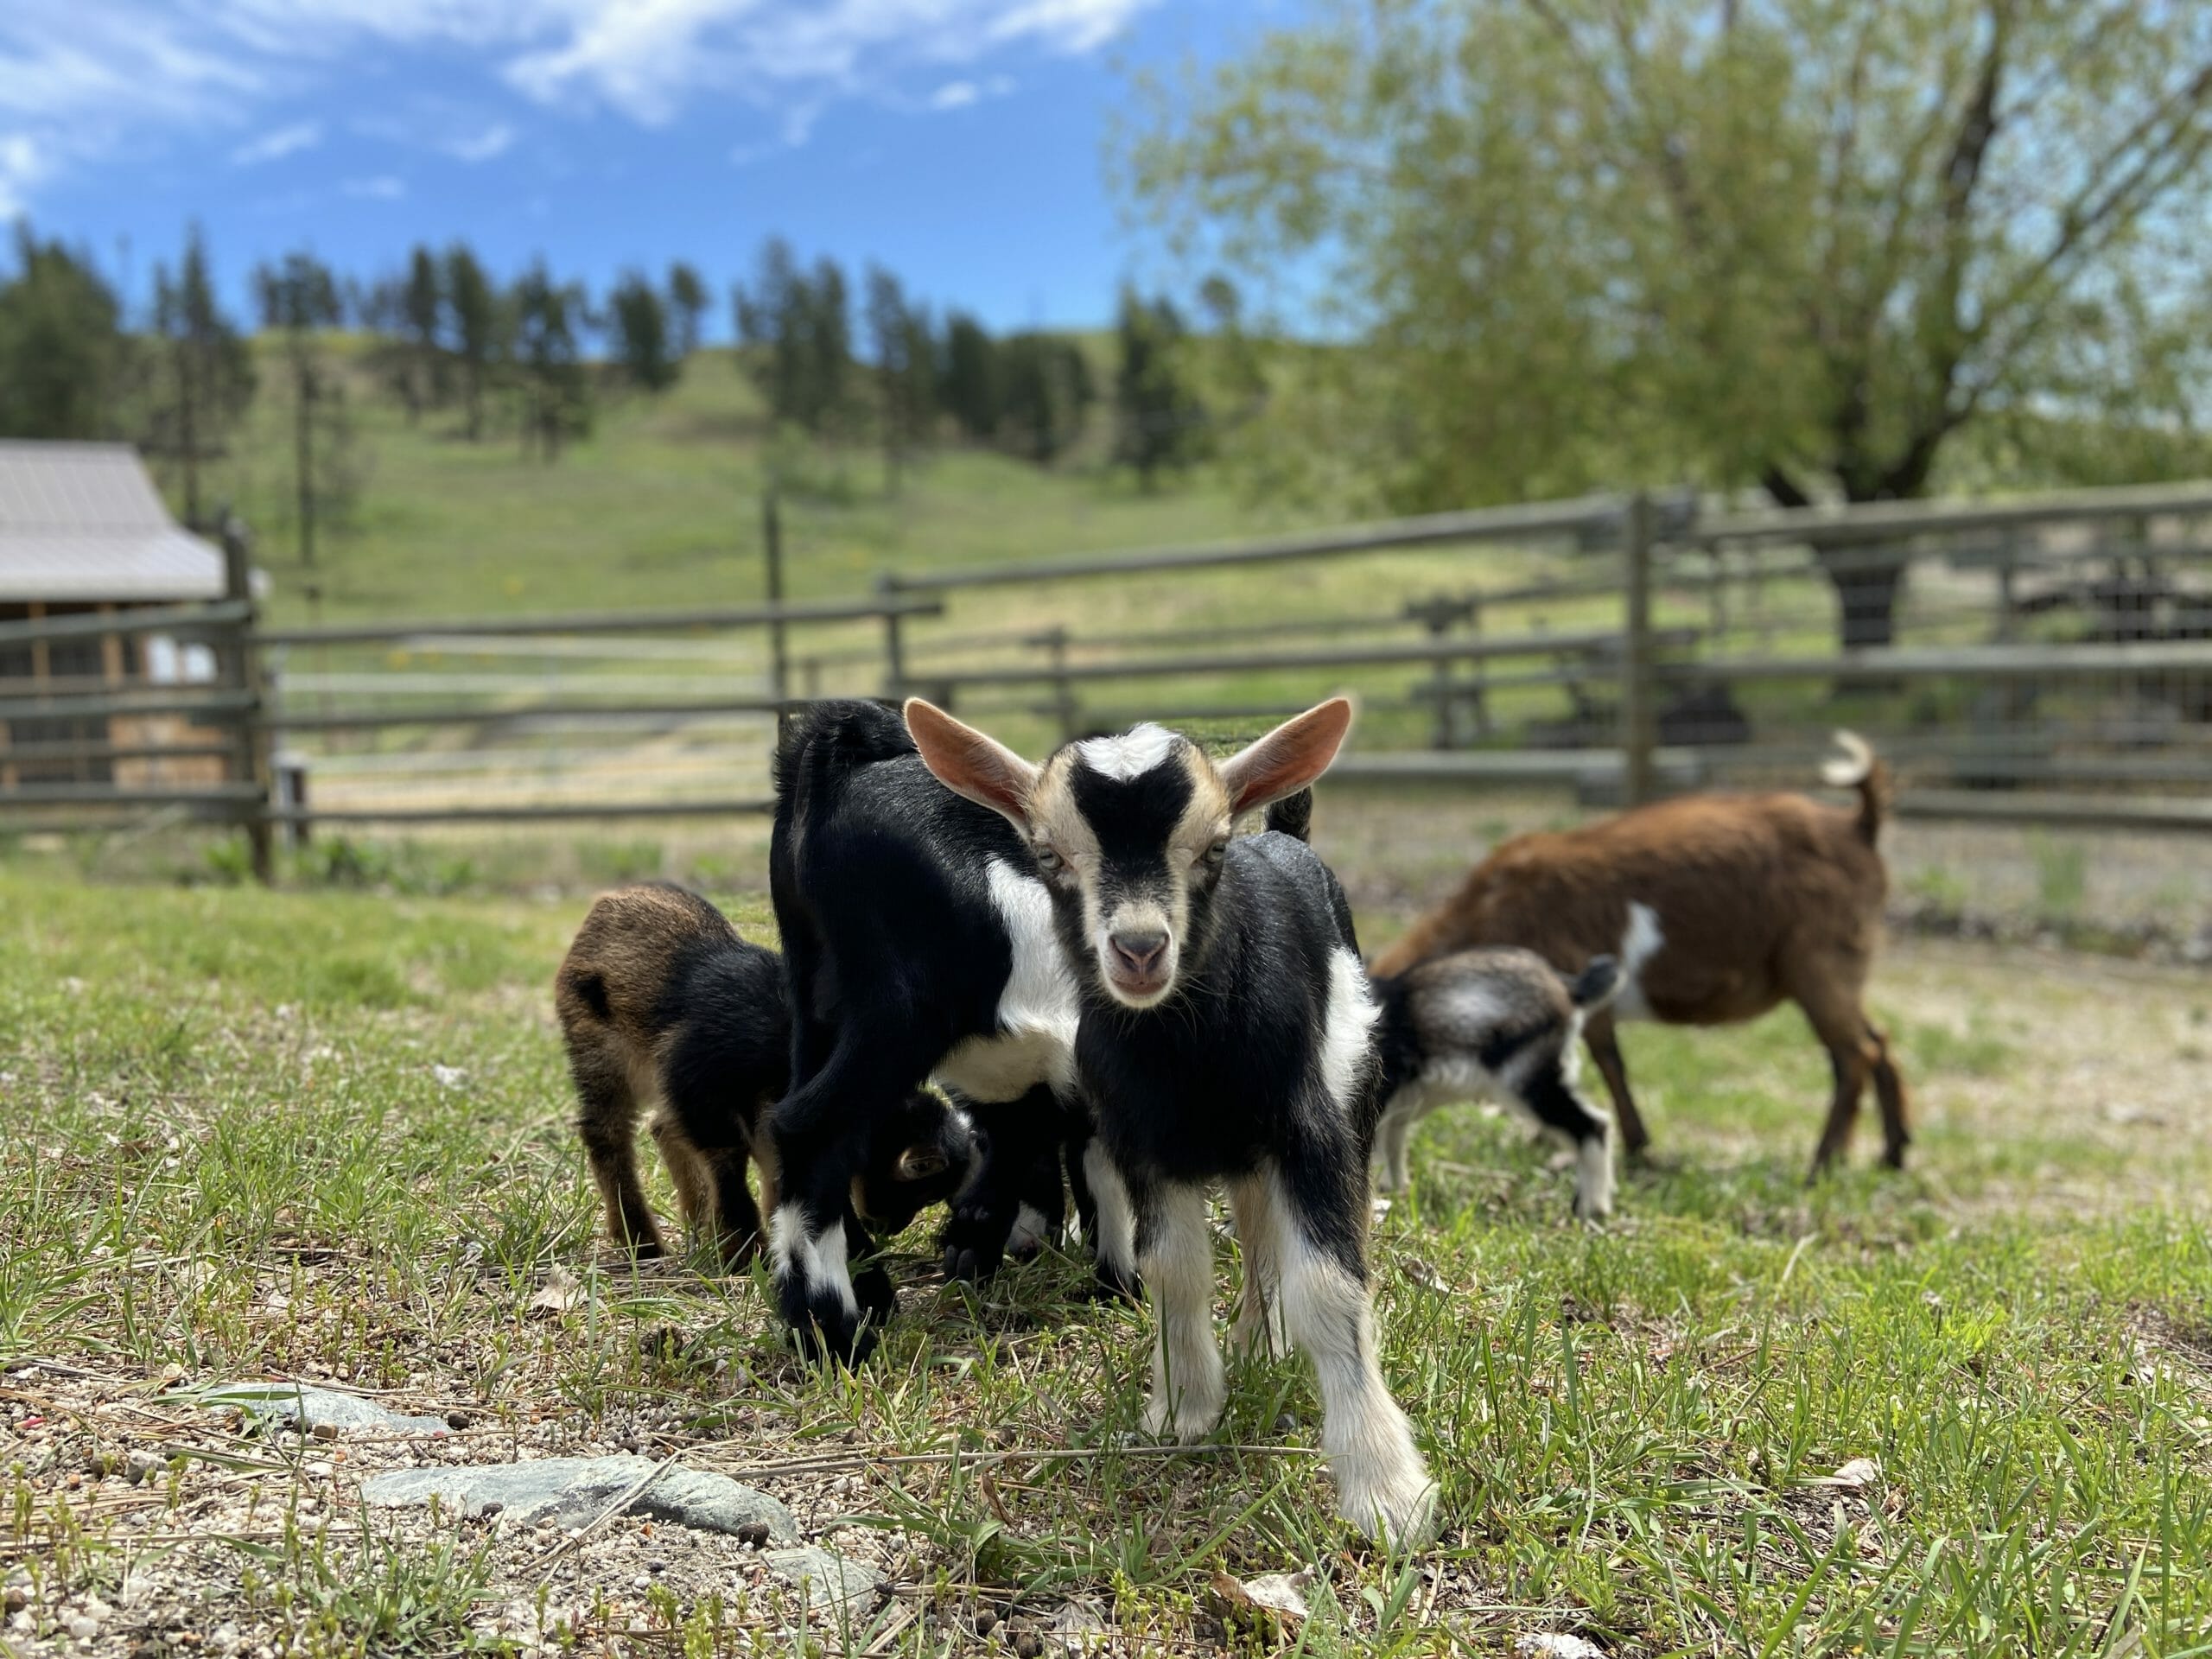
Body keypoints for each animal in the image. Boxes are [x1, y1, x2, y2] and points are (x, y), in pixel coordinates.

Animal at [556, 883, 974, 1267]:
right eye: (919, 1192)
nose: (891, 1228)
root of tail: (612, 899)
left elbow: (776, 1165)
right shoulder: (694, 1076)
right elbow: (727, 1159)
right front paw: (745, 1251)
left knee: (661, 1126)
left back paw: (696, 1224)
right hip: (598, 1048)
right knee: (607, 1133)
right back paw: (641, 1242)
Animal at [766, 702, 1134, 1367]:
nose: (971, 1249)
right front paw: (1121, 1286)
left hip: (812, 991)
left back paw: (871, 1295)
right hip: (901, 1008)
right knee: (811, 1126)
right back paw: (835, 1331)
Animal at [905, 696, 1439, 1549]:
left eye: (1213, 847)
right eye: (1048, 853)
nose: (1139, 948)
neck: (1187, 1048)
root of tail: (1287, 835)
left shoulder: (1305, 1128)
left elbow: (1329, 1284)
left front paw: (1387, 1492)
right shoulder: (1142, 1142)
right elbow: (1173, 1267)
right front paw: (1184, 1409)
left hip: (1342, 1099)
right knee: (1255, 1228)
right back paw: (1258, 1343)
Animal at [1370, 732, 1906, 1176]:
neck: (1489, 908)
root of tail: (1857, 825)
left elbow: (1606, 1062)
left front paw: (1628, 1147)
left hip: (1821, 960)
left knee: (1855, 1051)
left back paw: (1823, 1164)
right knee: (1875, 1039)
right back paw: (1892, 1154)